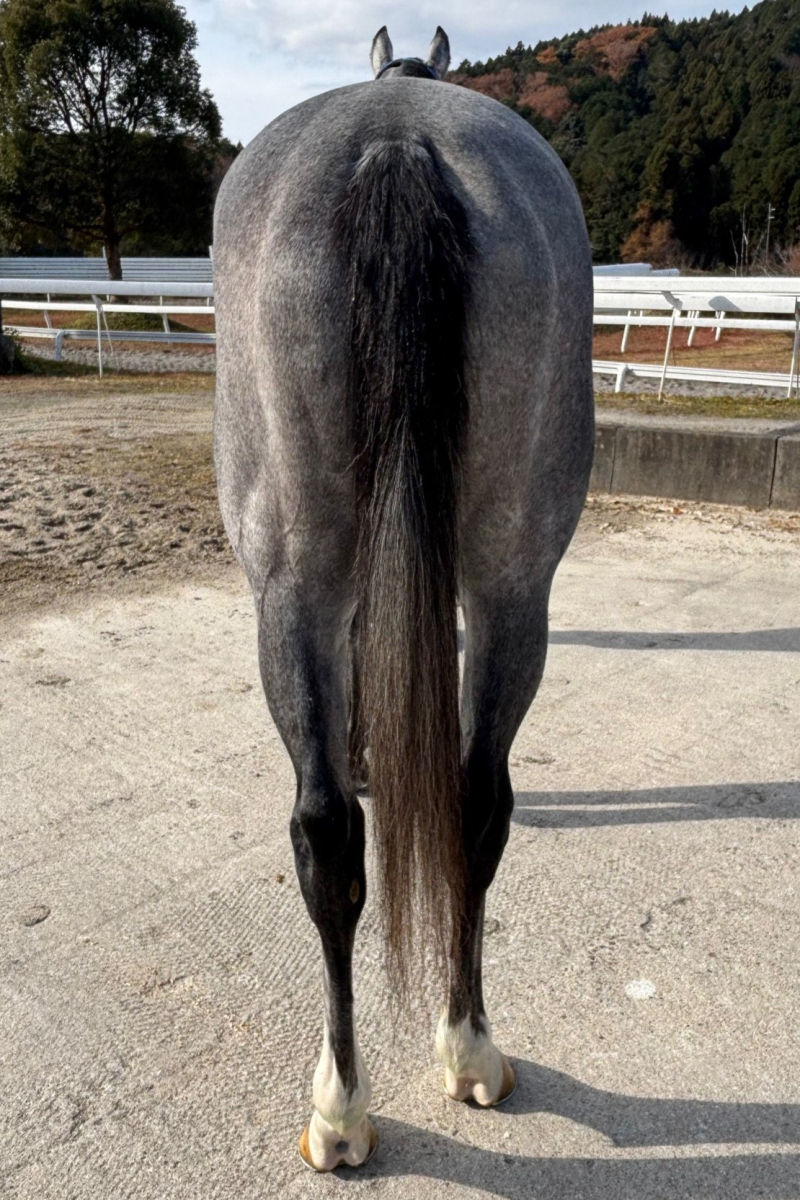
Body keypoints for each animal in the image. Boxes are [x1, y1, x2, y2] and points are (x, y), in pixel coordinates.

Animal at [212, 24, 594, 1172]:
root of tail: (397, 136)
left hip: (288, 583)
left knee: (325, 834)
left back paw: (340, 1108)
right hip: (515, 580)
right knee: (475, 802)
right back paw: (466, 1044)